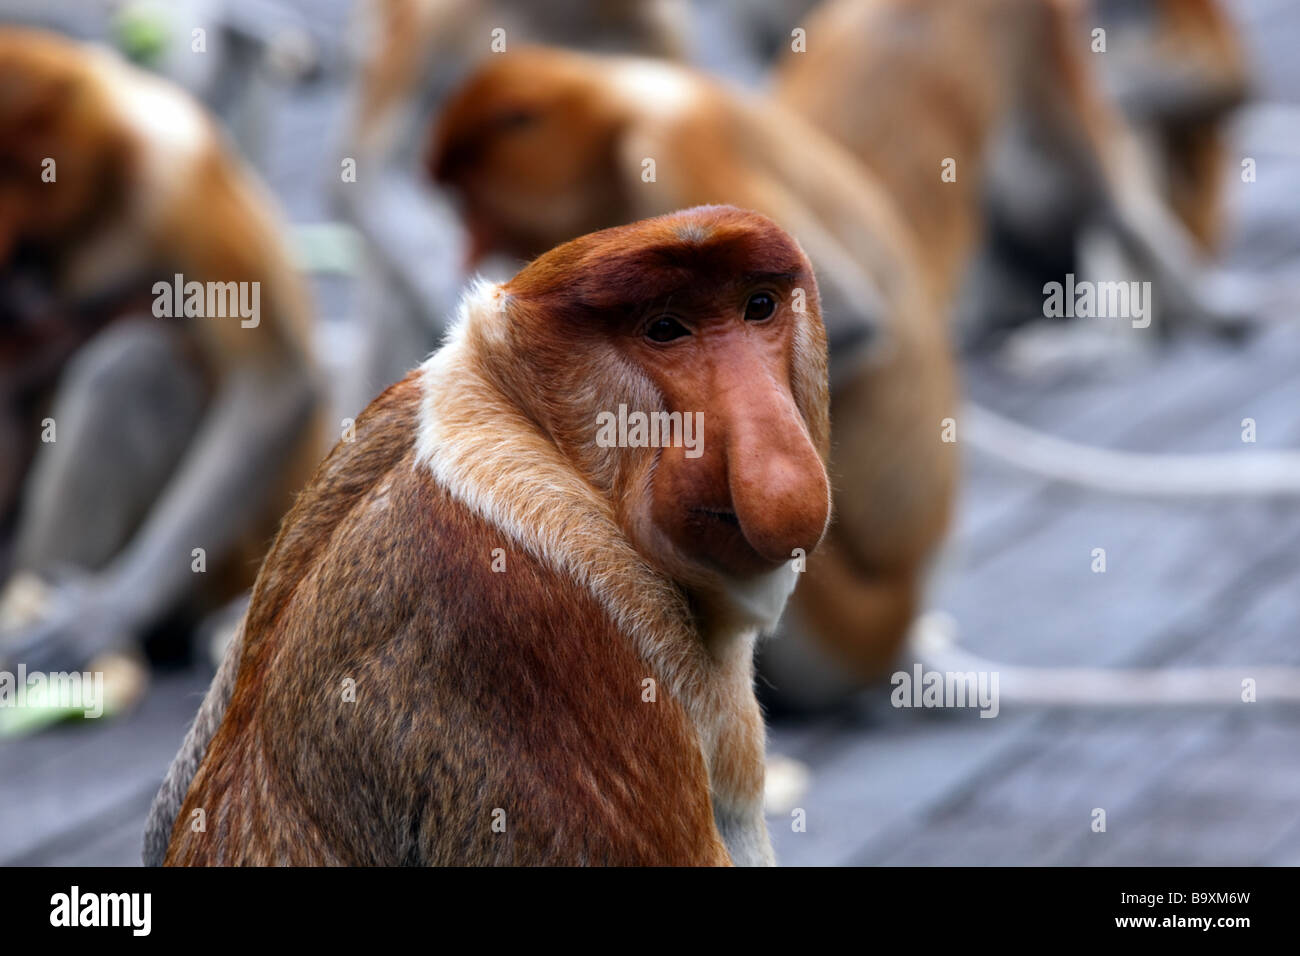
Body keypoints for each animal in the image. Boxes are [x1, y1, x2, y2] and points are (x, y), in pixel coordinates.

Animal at [0, 29, 326, 677]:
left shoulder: (178, 175)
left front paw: (98, 616)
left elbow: (274, 381)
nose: (19, 284)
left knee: (131, 368)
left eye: (15, 176)